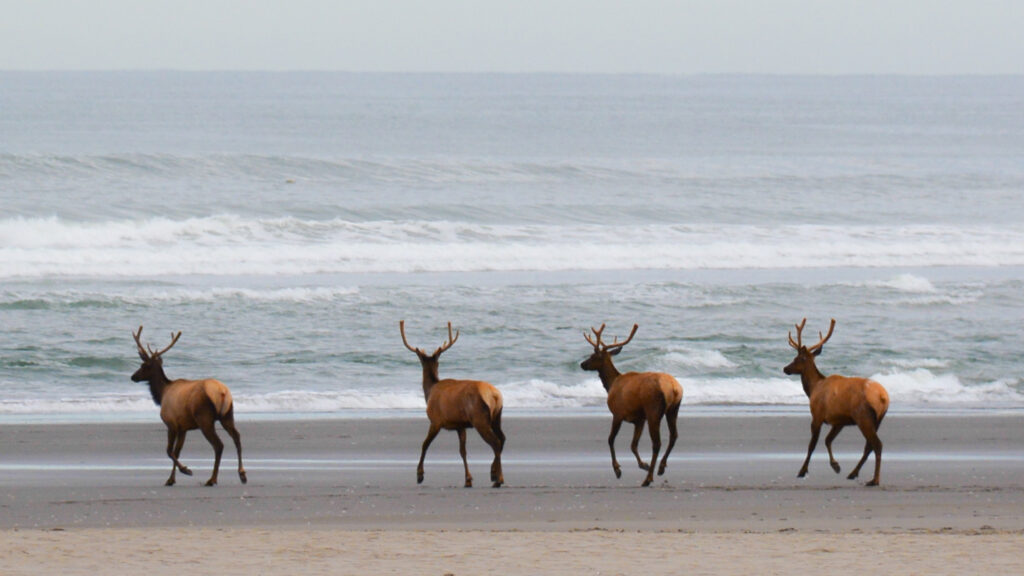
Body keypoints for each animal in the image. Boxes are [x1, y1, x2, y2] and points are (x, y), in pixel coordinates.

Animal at [131, 326, 246, 487]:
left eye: (144, 365)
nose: (133, 377)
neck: (162, 394)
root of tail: (222, 392)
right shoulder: (183, 428)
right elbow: (177, 451)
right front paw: (171, 479)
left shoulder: (171, 423)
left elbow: (169, 451)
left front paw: (186, 470)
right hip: (228, 414)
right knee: (237, 437)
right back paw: (242, 474)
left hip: (204, 418)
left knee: (219, 445)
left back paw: (212, 479)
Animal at [399, 320, 505, 488]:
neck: (429, 392)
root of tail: (494, 395)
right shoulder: (460, 425)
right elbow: (462, 451)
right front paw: (468, 479)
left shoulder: (436, 420)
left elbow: (424, 444)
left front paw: (419, 475)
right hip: (497, 416)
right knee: (502, 439)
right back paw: (494, 474)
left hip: (480, 419)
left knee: (495, 442)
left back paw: (498, 479)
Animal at [580, 323, 684, 487]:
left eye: (593, 356)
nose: (582, 364)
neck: (611, 384)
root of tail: (673, 388)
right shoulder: (639, 420)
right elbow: (633, 445)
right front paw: (643, 464)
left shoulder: (618, 414)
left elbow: (610, 439)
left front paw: (617, 470)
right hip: (673, 409)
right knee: (674, 435)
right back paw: (661, 468)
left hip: (653, 410)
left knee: (657, 443)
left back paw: (648, 478)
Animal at [784, 318, 890, 486]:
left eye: (797, 358)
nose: (785, 368)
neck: (813, 389)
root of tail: (883, 397)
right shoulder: (839, 421)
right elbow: (828, 440)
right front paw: (836, 466)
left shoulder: (817, 415)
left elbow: (812, 445)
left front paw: (802, 471)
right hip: (878, 419)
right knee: (869, 446)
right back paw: (853, 473)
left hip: (863, 417)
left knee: (877, 444)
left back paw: (875, 480)